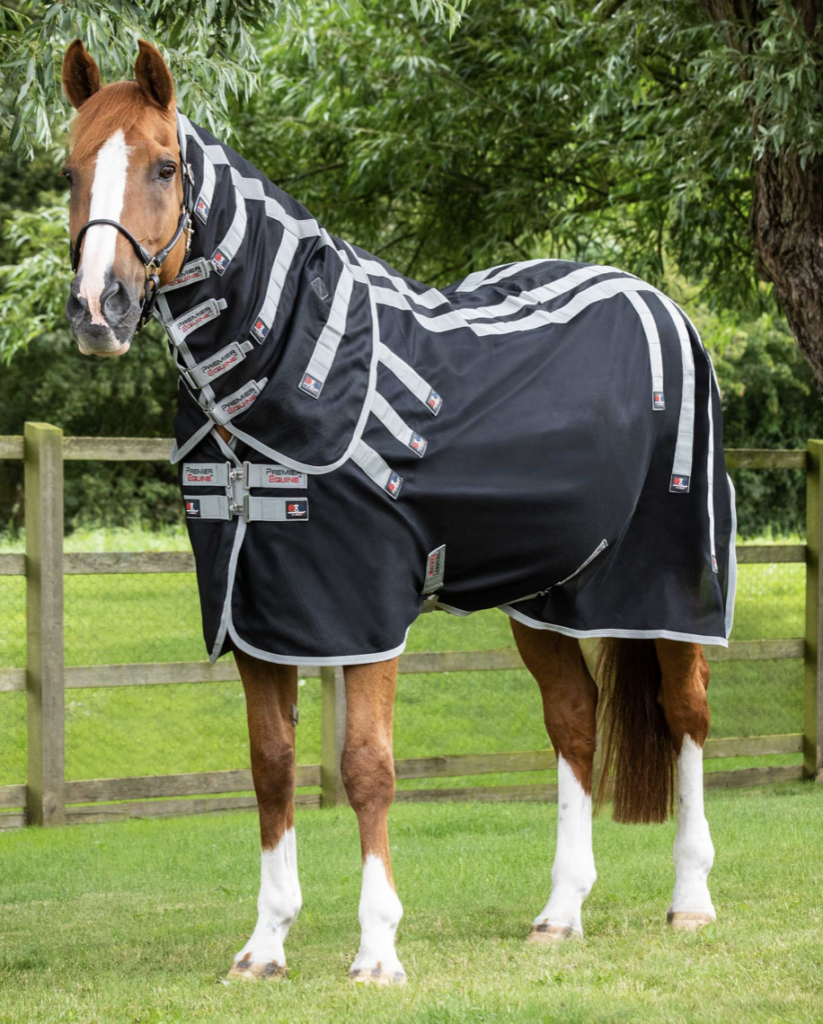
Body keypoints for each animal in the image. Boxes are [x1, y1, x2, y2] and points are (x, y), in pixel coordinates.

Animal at [60, 39, 733, 984]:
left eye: (162, 165)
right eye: (70, 171)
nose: (99, 309)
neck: (279, 378)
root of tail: (657, 301)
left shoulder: (361, 608)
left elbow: (366, 767)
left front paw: (377, 949)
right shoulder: (258, 610)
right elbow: (272, 766)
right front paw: (264, 945)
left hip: (669, 591)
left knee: (685, 716)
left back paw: (690, 900)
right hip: (543, 596)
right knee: (573, 720)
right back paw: (559, 912)